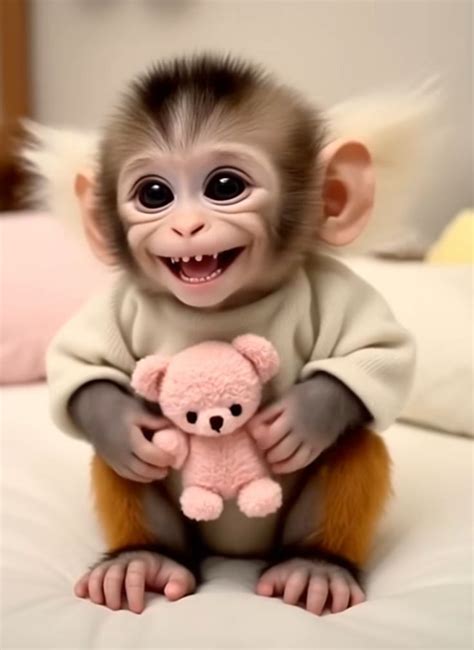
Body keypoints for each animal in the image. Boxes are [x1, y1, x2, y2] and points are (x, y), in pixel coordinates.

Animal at [46, 55, 415, 616]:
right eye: (154, 194)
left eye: (223, 187)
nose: (186, 228)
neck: (223, 307)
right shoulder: (117, 305)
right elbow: (78, 372)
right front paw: (121, 426)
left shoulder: (337, 290)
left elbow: (378, 358)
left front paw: (306, 416)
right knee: (128, 475)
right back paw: (144, 560)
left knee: (354, 442)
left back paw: (314, 566)